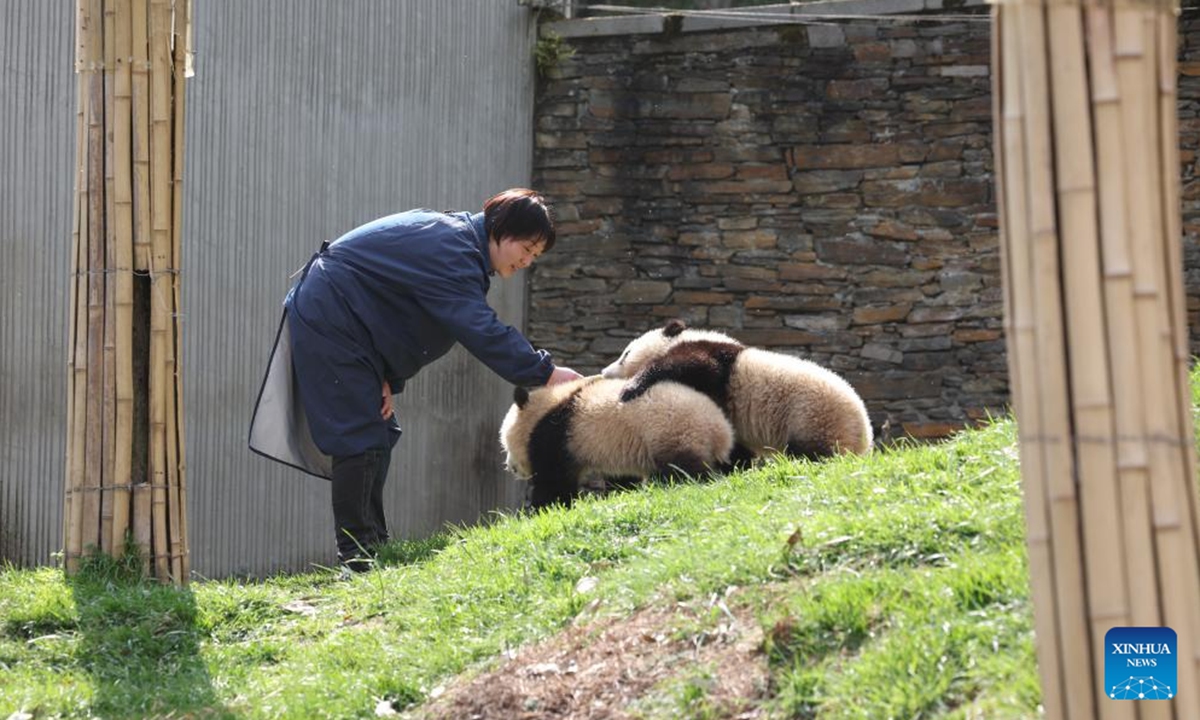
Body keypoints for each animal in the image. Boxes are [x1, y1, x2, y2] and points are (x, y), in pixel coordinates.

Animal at [499, 376, 735, 508]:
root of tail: (720, 431)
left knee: (685, 469)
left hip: (672, 431)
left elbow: (554, 481)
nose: (510, 468)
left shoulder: (556, 435)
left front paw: (542, 507)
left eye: (506, 445)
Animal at [600, 320, 873, 463]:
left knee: (812, 451)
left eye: (625, 354)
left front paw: (630, 388)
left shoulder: (715, 360)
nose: (604, 371)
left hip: (813, 417)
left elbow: (687, 366)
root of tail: (864, 435)